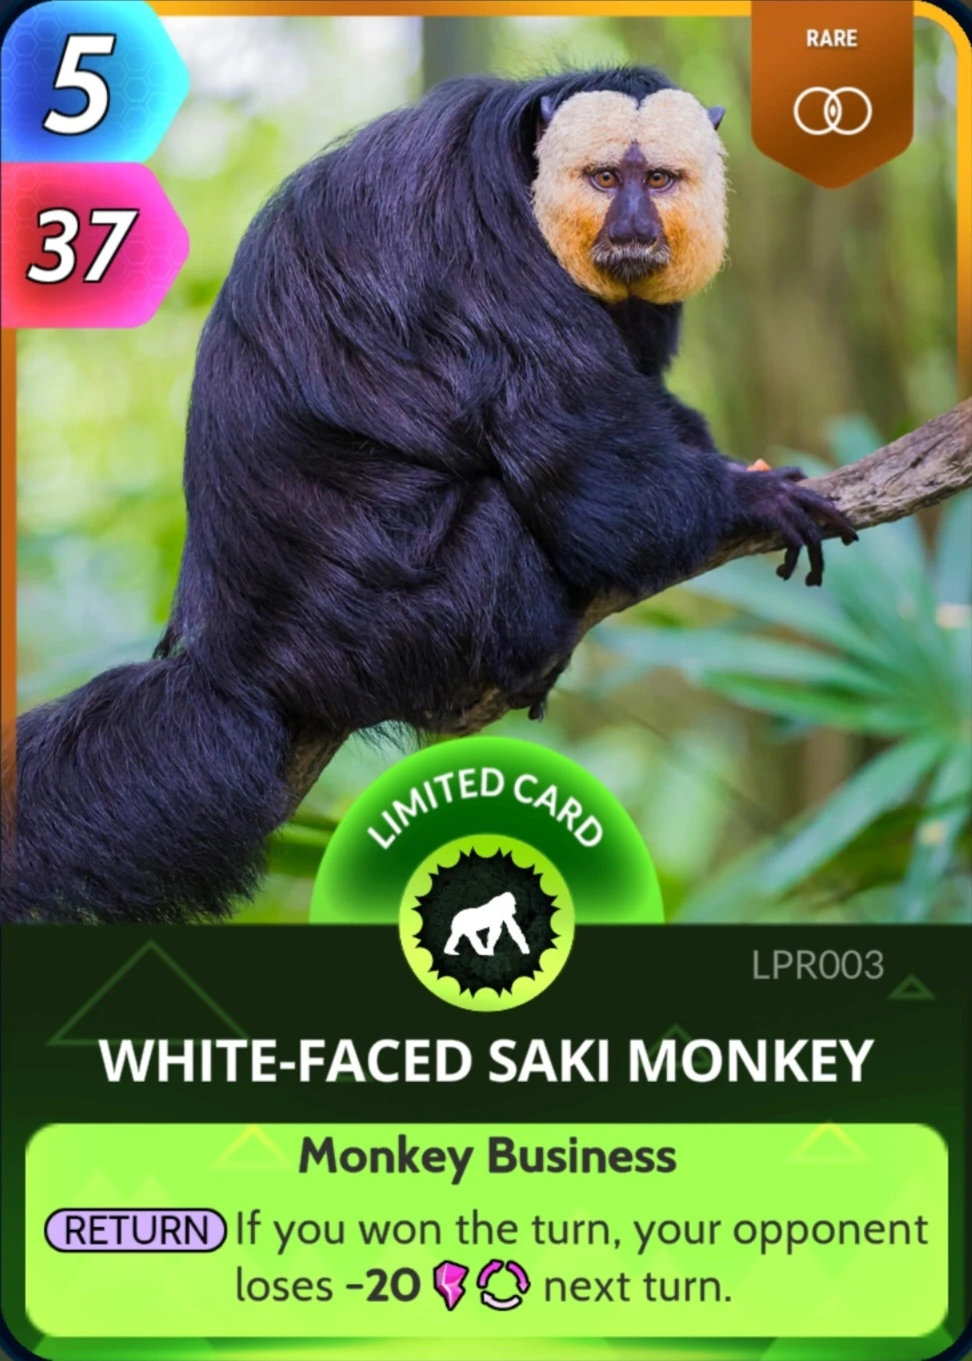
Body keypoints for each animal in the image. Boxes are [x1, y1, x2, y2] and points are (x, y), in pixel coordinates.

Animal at [2, 66, 857, 924]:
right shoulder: (495, 264)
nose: (635, 224)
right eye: (605, 178)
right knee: (506, 526)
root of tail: (236, 653)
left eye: (660, 180)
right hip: (401, 624)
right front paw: (748, 502)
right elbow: (588, 483)